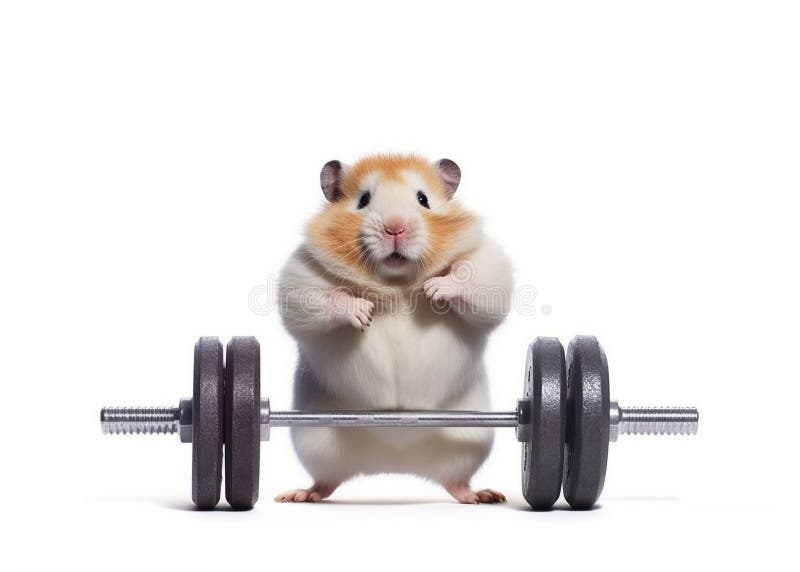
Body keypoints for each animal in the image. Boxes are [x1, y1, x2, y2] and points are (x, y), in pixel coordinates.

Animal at [276, 154, 513, 504]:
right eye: (363, 200)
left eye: (423, 199)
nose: (395, 227)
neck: (397, 285)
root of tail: (394, 458)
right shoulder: (301, 279)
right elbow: (326, 299)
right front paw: (364, 313)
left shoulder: (487, 265)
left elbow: (468, 281)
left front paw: (434, 289)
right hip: (315, 440)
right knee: (325, 481)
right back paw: (299, 495)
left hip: (471, 437)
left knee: (456, 481)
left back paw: (484, 496)